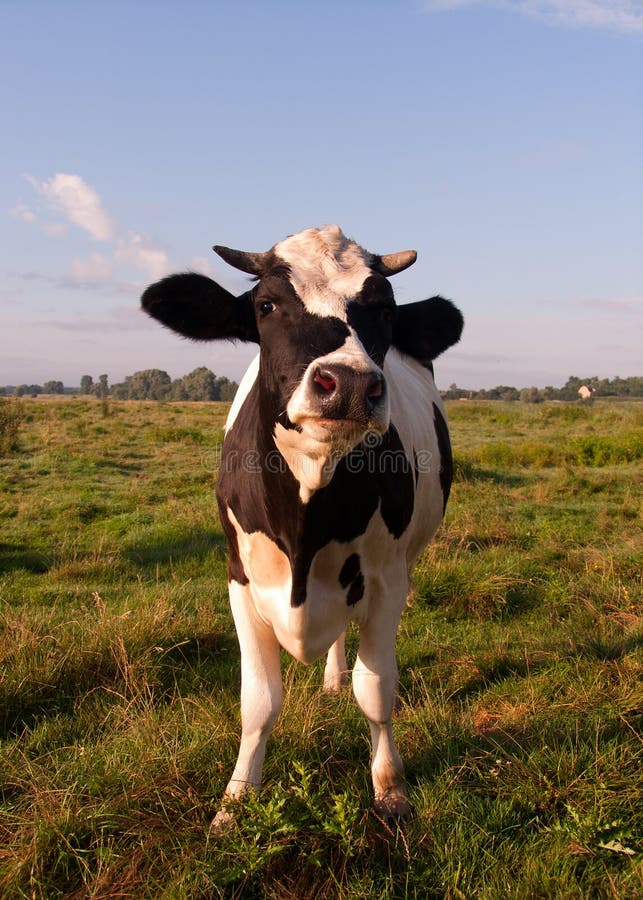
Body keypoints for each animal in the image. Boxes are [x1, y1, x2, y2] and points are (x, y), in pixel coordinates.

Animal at [141, 224, 463, 828]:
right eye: (266, 305)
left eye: (384, 309)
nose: (351, 383)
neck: (305, 528)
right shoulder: (239, 578)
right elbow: (259, 702)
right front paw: (236, 799)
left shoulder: (388, 579)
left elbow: (376, 689)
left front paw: (390, 787)